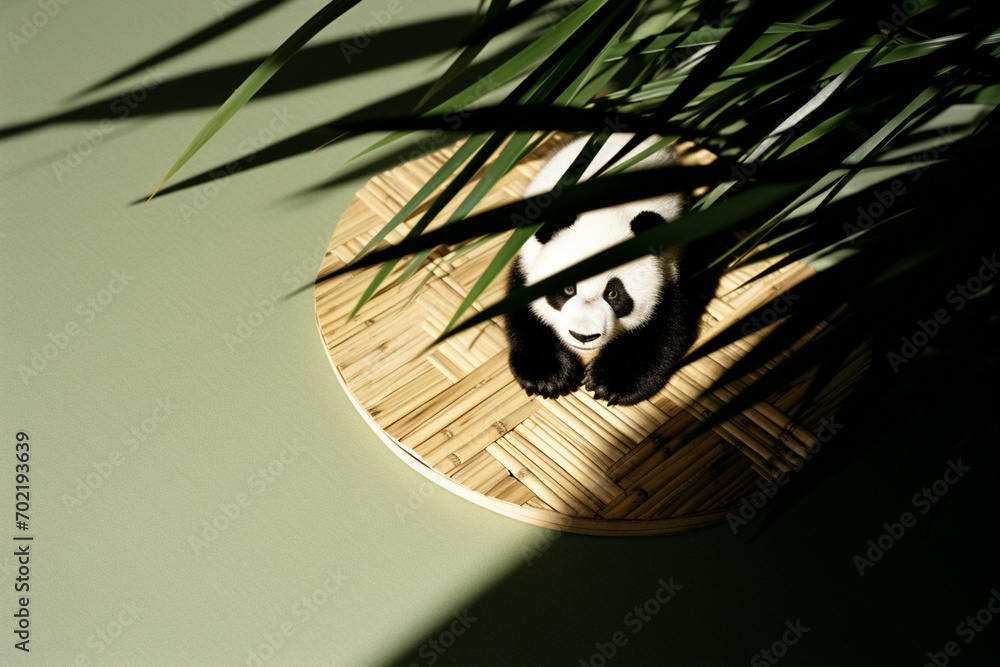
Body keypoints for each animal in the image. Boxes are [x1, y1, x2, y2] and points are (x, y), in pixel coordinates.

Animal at [504, 133, 690, 406]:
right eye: (568, 289)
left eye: (613, 294)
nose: (583, 336)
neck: (604, 214)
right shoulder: (528, 260)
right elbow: (524, 317)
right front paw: (548, 377)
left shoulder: (668, 268)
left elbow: (662, 330)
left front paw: (610, 382)